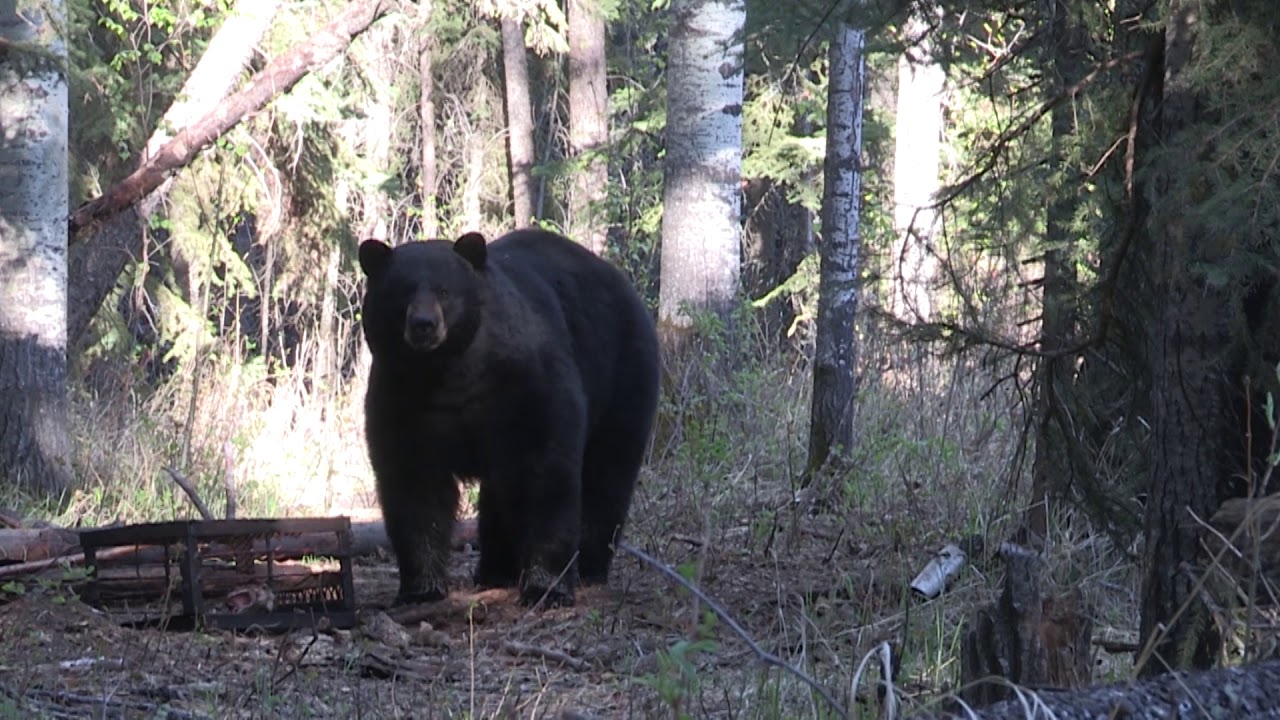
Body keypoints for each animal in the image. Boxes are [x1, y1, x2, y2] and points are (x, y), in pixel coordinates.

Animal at [357, 228, 660, 608]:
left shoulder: (527, 382)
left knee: (607, 471)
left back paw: (589, 566)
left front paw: (546, 588)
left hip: (623, 373)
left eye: (444, 290)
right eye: (403, 292)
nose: (423, 325)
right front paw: (420, 589)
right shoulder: (401, 396)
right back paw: (494, 570)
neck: (448, 371)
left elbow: (545, 473)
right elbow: (414, 482)